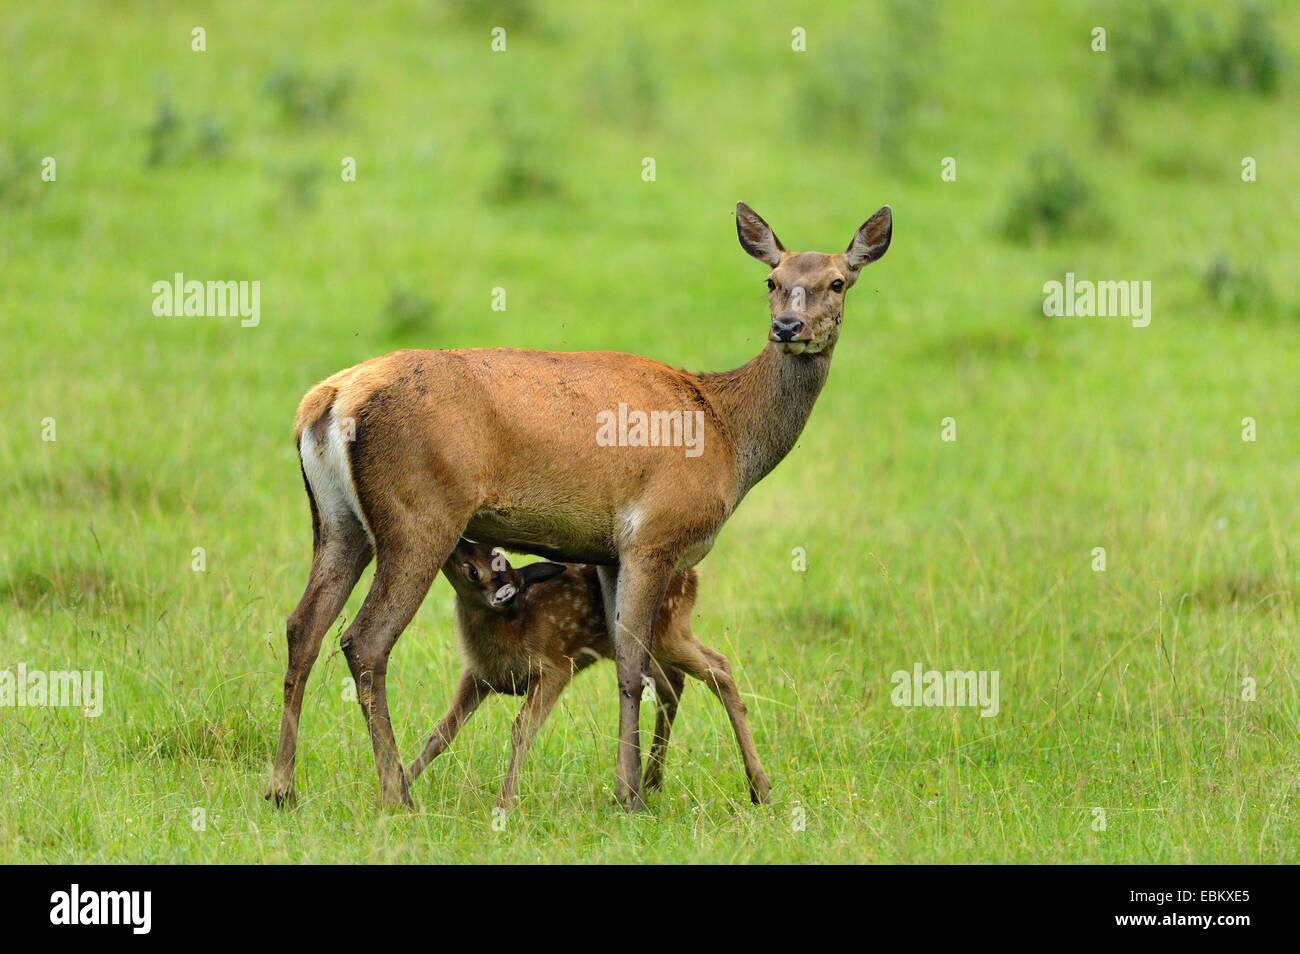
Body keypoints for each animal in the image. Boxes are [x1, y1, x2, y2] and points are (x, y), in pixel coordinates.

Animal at [406, 540, 769, 807]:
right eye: (480, 548)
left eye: (472, 570)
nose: (457, 541)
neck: (510, 630)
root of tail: (691, 575)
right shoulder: (479, 675)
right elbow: (442, 732)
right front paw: (403, 784)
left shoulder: (556, 667)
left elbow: (522, 730)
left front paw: (504, 804)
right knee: (672, 683)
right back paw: (653, 780)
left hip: (669, 627)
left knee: (719, 669)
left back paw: (759, 787)